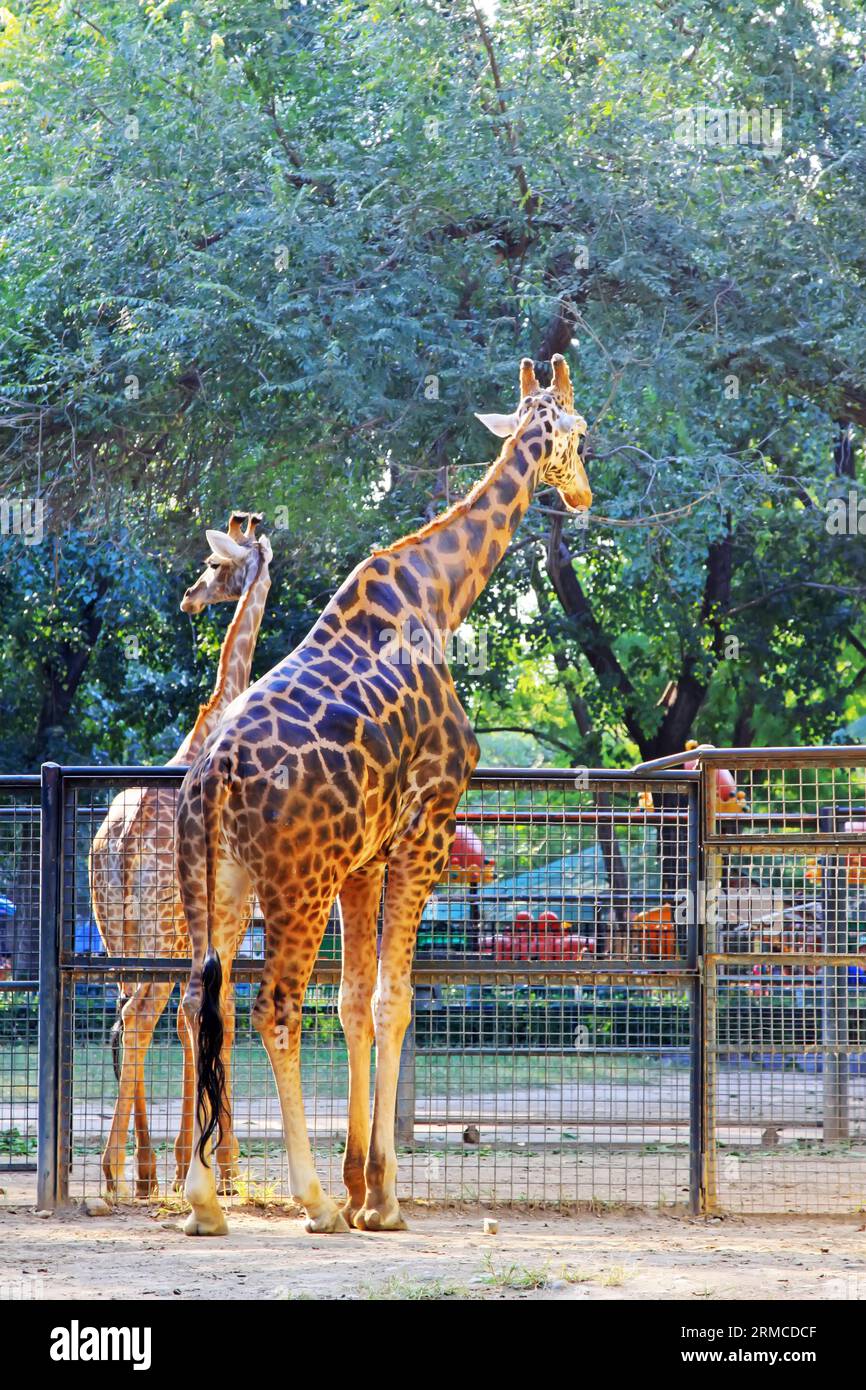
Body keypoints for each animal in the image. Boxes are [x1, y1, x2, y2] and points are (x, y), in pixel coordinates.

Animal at [89, 512, 272, 1199]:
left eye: (215, 564)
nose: (192, 595)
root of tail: (120, 840)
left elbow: (193, 1021)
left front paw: (181, 1163)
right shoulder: (233, 919)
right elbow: (217, 1015)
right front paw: (223, 1163)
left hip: (120, 930)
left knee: (124, 1015)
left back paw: (136, 1171)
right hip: (161, 925)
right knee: (143, 1016)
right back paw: (114, 1173)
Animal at [176, 355, 591, 1237]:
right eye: (580, 435)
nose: (580, 494)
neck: (440, 595)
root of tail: (212, 780)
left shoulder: (363, 857)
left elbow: (354, 1005)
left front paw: (363, 1183)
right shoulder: (427, 824)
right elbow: (395, 999)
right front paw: (382, 1199)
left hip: (219, 886)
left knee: (204, 1001)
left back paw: (204, 1204)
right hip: (293, 885)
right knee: (272, 1008)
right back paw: (309, 1201)